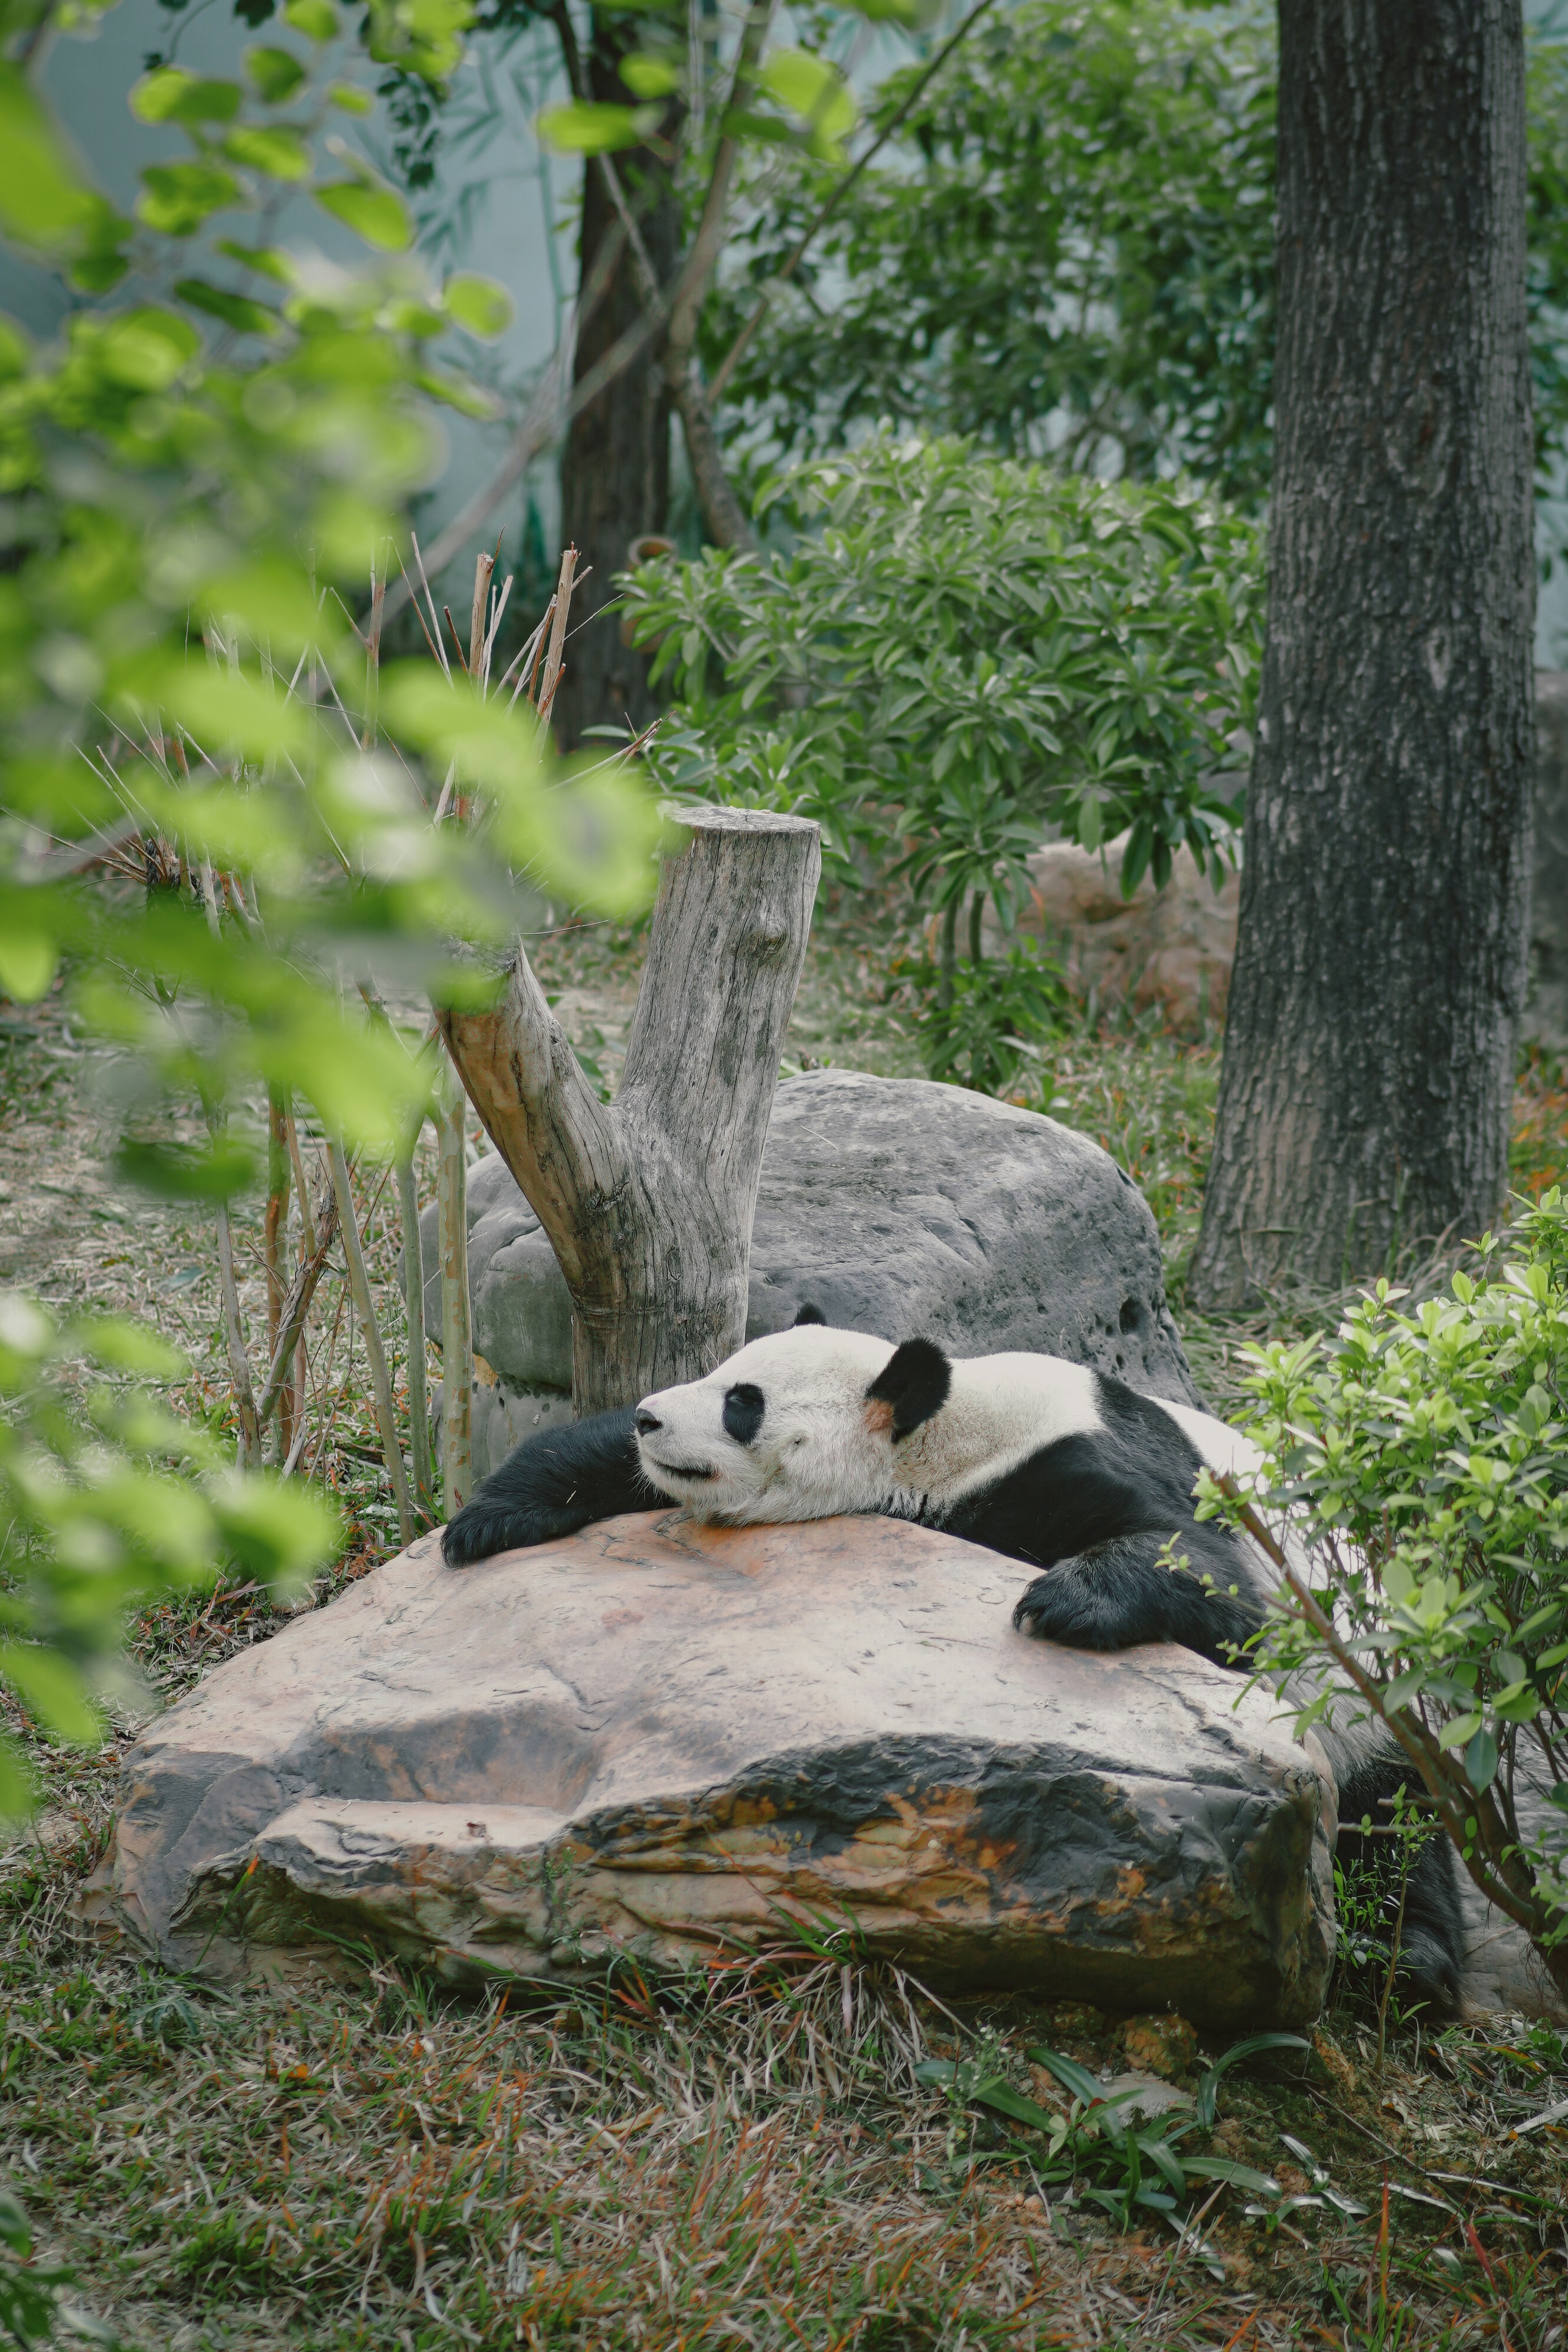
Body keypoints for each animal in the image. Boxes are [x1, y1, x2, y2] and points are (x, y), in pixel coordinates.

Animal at [442, 1306, 1467, 2012]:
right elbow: (589, 1456)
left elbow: (1218, 1586)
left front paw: (1064, 1599)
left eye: (742, 1405)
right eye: (717, 1374)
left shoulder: (1073, 1462)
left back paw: (1412, 1968)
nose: (656, 1419)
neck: (941, 1436)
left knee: (1394, 1831)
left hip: (1368, 1706)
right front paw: (487, 1519)